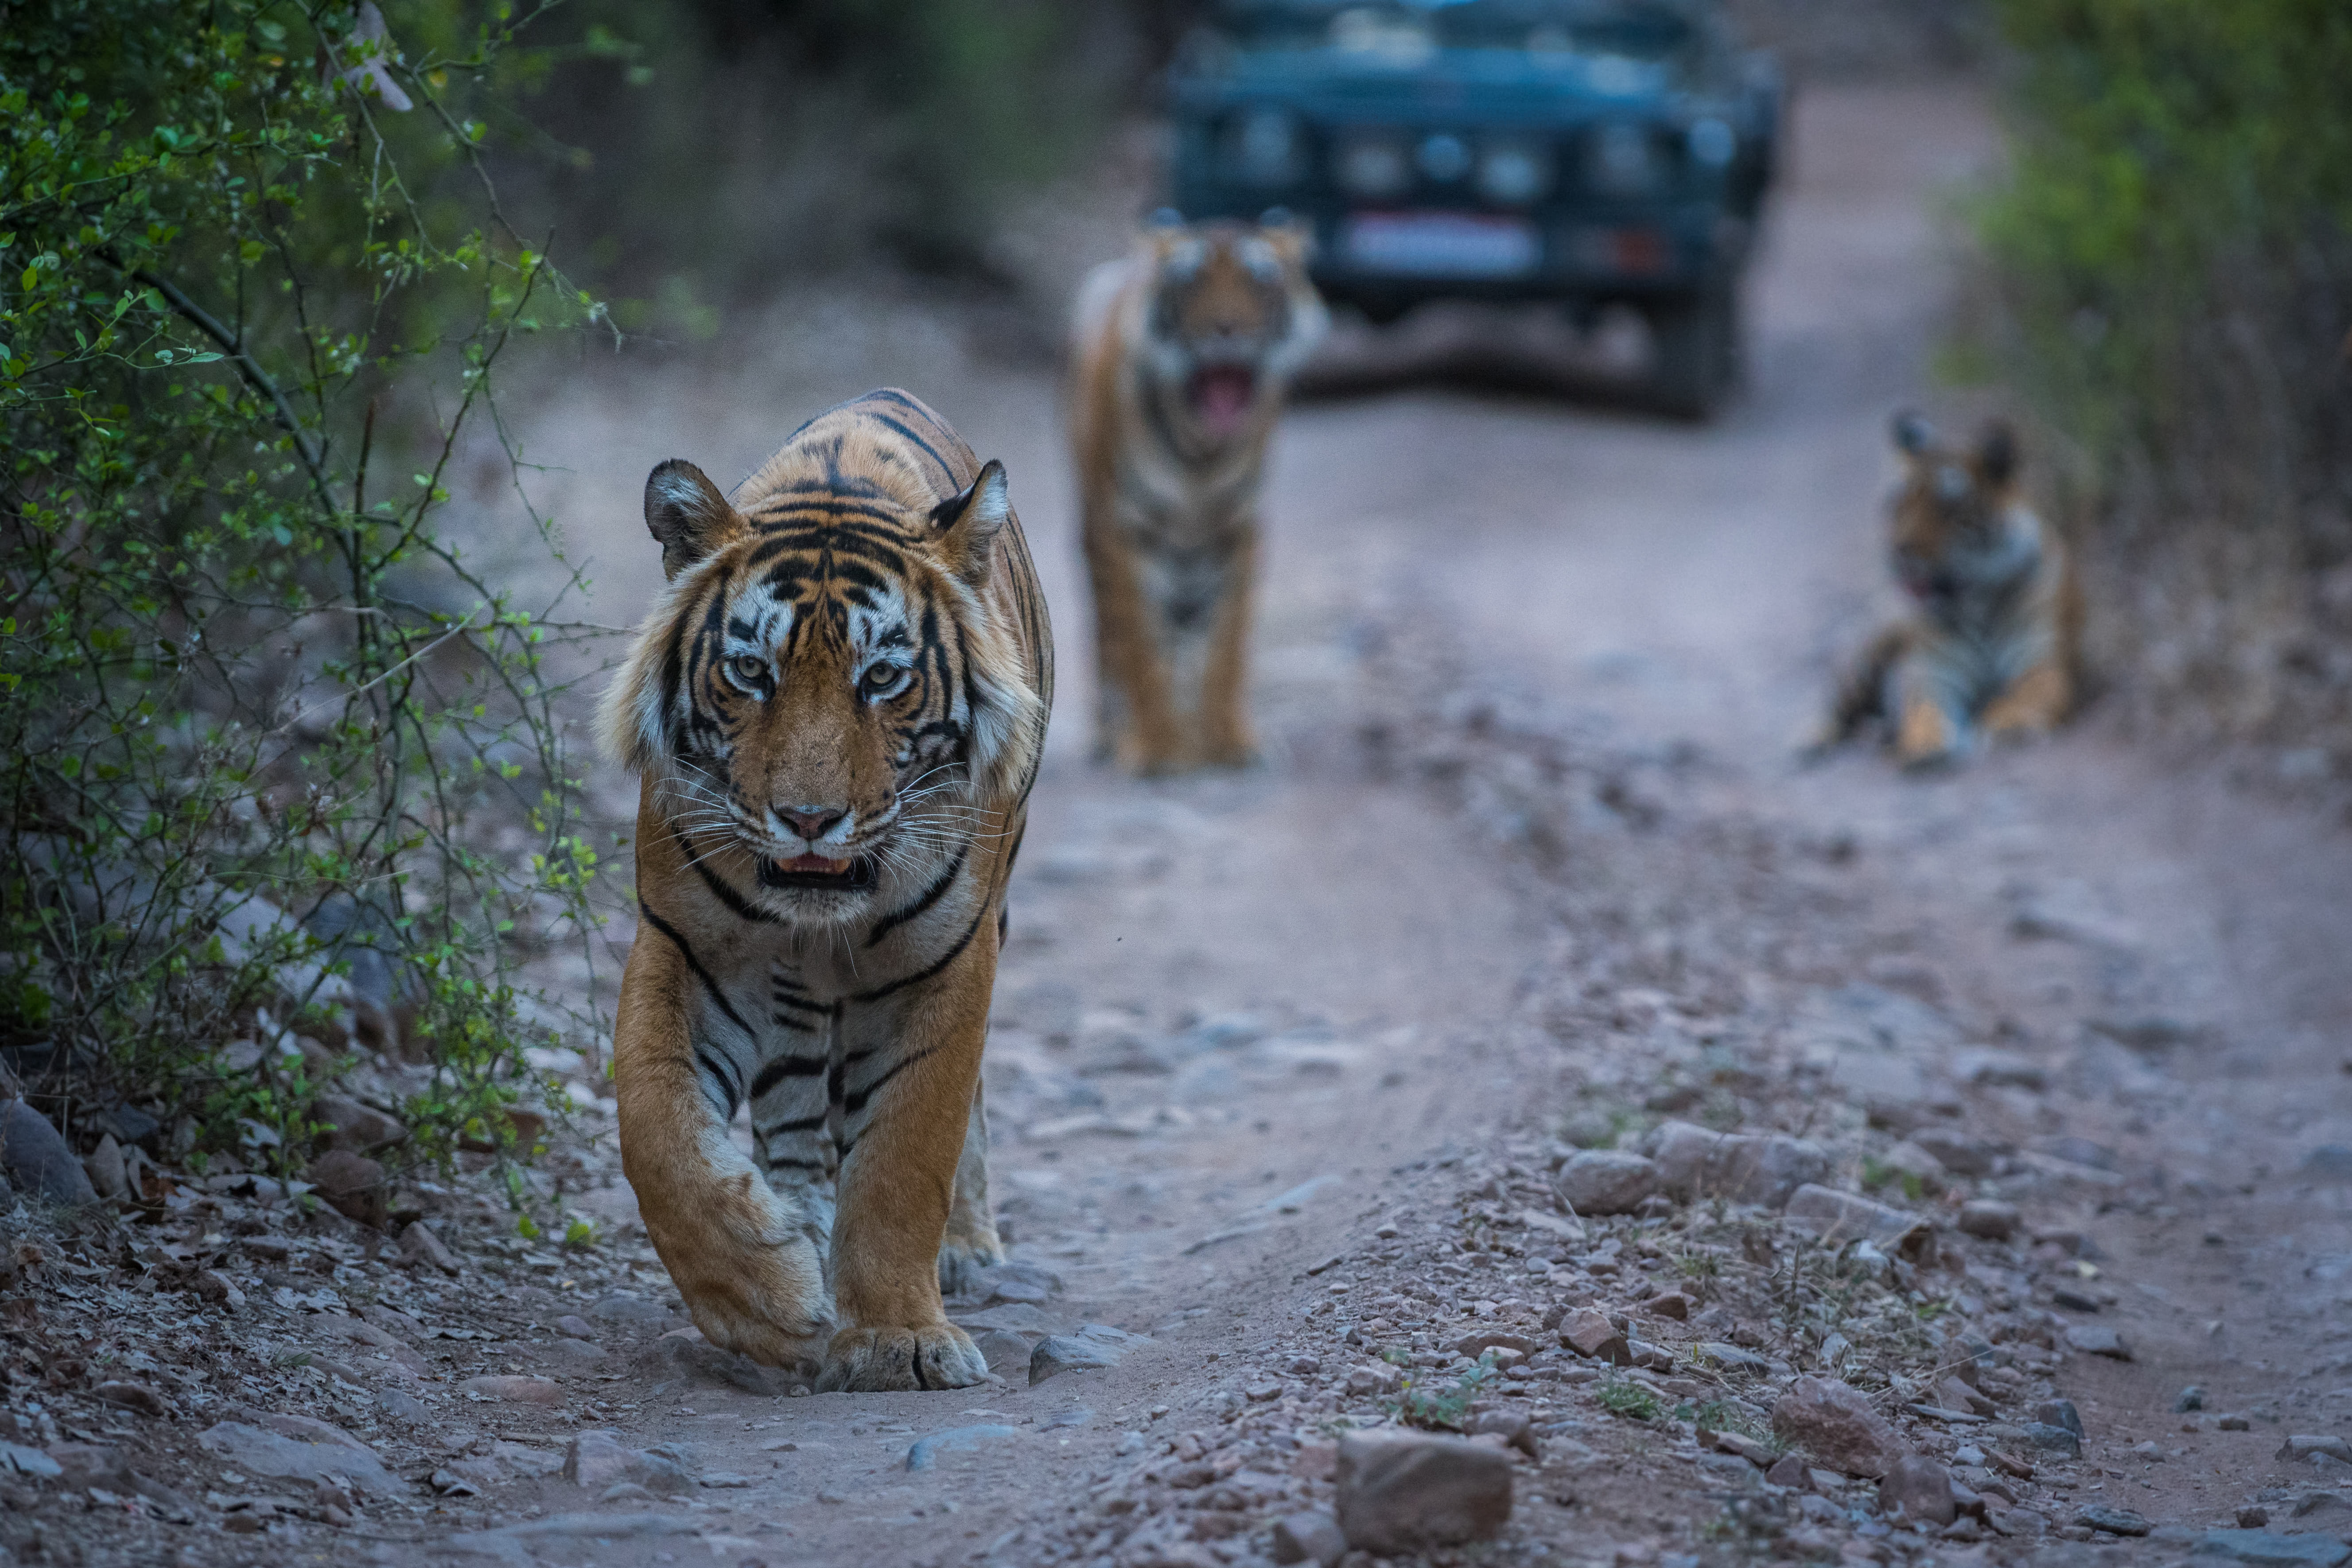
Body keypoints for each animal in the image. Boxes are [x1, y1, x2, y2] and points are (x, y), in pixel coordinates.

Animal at [597, 389, 1052, 1391]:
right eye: (749, 672)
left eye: (881, 677)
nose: (808, 819)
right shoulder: (686, 945)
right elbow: (655, 1130)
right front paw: (766, 1301)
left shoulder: (947, 962)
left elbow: (905, 1153)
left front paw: (896, 1339)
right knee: (797, 1101)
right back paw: (800, 1226)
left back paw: (963, 1246)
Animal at [1069, 212, 1327, 774]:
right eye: (1191, 283)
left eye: (1259, 281)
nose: (1227, 330)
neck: (1200, 457)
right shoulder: (1126, 528)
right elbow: (1141, 642)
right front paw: (1156, 747)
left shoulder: (1240, 528)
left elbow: (1225, 645)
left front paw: (1228, 740)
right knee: (1110, 635)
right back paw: (1112, 731)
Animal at [1815, 411, 2081, 769]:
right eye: (1897, 505)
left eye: (1947, 510)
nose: (1899, 552)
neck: (1976, 602)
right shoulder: (1931, 674)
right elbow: (1922, 710)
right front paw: (1923, 747)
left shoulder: (2042, 661)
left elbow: (2026, 694)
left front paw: (2005, 724)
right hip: (1867, 653)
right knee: (1834, 707)